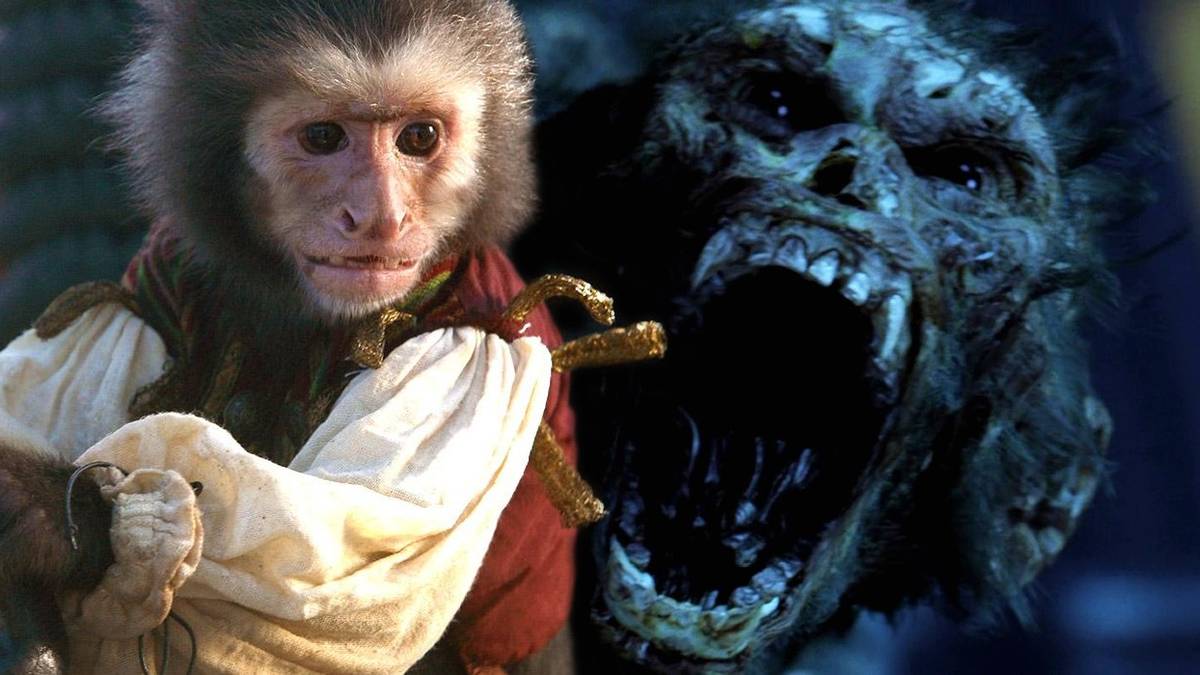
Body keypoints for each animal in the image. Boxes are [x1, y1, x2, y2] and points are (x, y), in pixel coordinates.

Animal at [0, 1, 580, 672]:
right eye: (323, 138)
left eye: (419, 138)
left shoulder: (481, 339)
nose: (381, 217)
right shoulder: (156, 275)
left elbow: (309, 572)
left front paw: (27, 510)